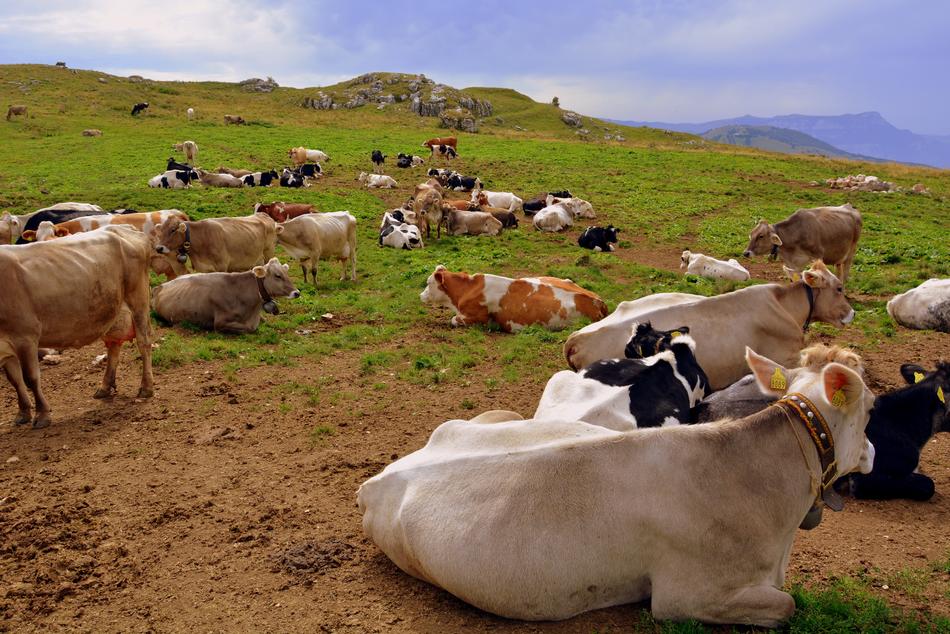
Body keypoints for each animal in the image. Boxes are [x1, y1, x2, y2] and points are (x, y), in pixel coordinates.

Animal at [0, 226, 155, 427]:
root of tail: (121, 227)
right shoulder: (5, 346)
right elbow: (15, 380)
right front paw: (23, 412)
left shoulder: (25, 336)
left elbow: (30, 378)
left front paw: (42, 414)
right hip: (112, 311)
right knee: (114, 345)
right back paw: (105, 386)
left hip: (139, 300)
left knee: (144, 342)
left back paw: (146, 387)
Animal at [151, 258, 300, 334]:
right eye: (277, 276)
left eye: (286, 273)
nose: (297, 293)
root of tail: (159, 287)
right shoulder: (220, 323)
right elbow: (249, 329)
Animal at [420, 265, 608, 332]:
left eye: (428, 282)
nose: (420, 295)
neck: (468, 288)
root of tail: (598, 300)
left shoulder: (477, 317)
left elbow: (453, 319)